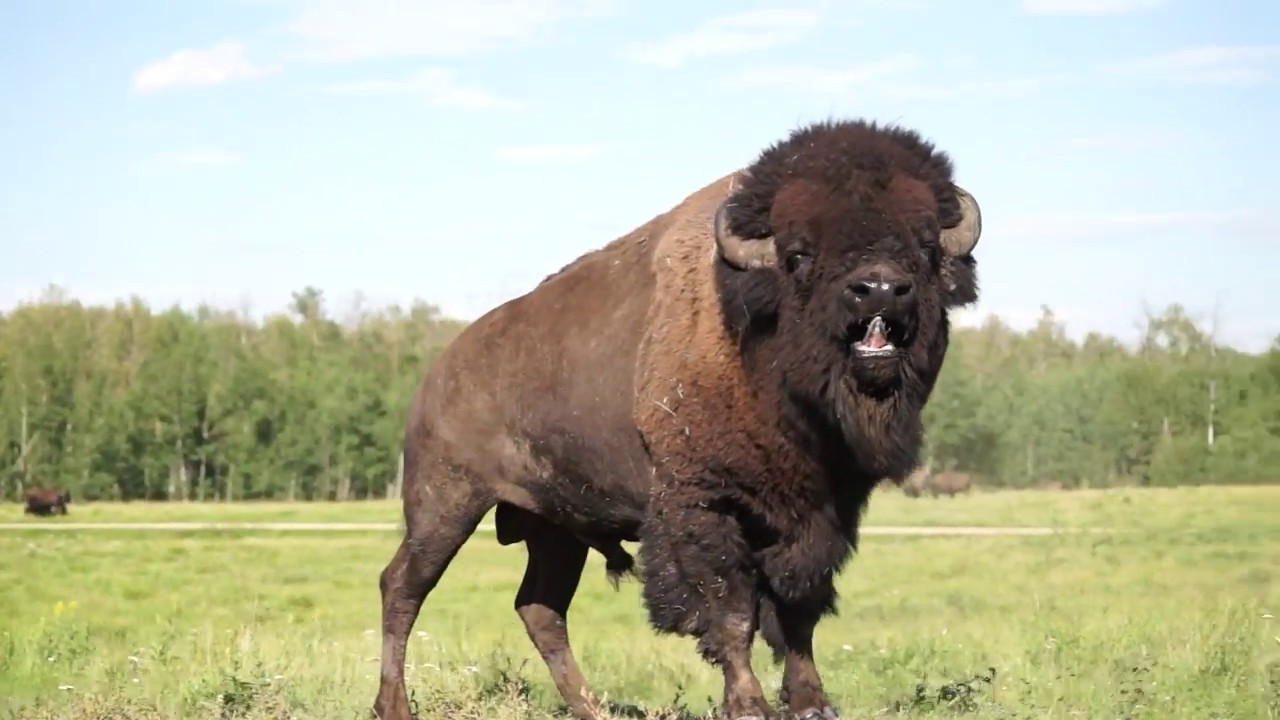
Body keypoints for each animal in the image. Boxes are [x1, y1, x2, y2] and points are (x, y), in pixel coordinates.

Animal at [372, 118, 984, 720]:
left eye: (926, 246)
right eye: (799, 253)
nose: (879, 289)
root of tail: (438, 372)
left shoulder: (821, 518)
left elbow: (798, 612)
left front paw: (813, 705)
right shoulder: (704, 508)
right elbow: (729, 611)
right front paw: (748, 706)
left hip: (555, 524)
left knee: (541, 608)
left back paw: (593, 710)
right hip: (444, 504)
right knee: (403, 586)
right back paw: (395, 706)